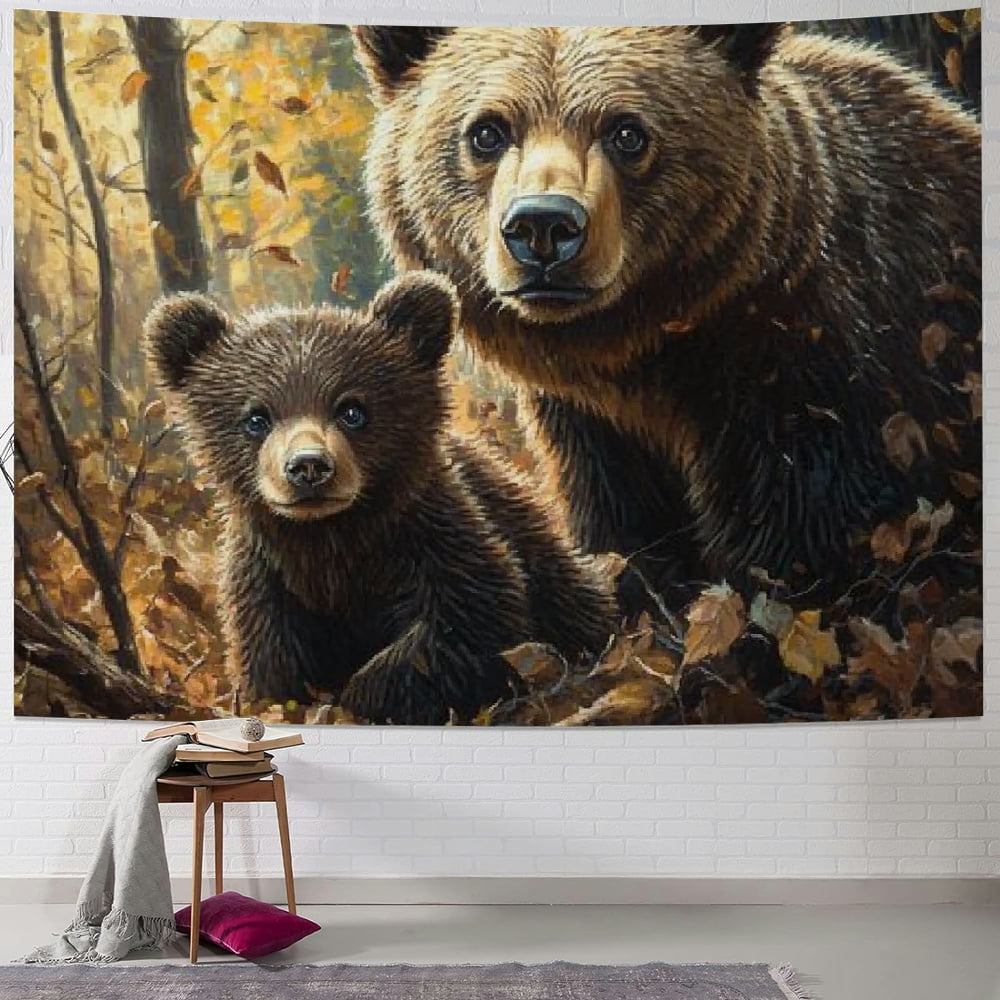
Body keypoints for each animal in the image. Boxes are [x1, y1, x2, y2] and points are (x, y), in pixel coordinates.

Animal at [144, 272, 616, 725]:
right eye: (256, 417)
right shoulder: (269, 582)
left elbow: (463, 620)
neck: (332, 543)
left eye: (353, 410)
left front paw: (361, 699)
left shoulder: (434, 539)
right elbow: (272, 666)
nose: (309, 467)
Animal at [351, 23, 982, 608]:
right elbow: (623, 522)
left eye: (627, 132)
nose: (543, 226)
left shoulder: (817, 373)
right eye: (486, 131)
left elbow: (806, 540)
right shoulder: (594, 430)